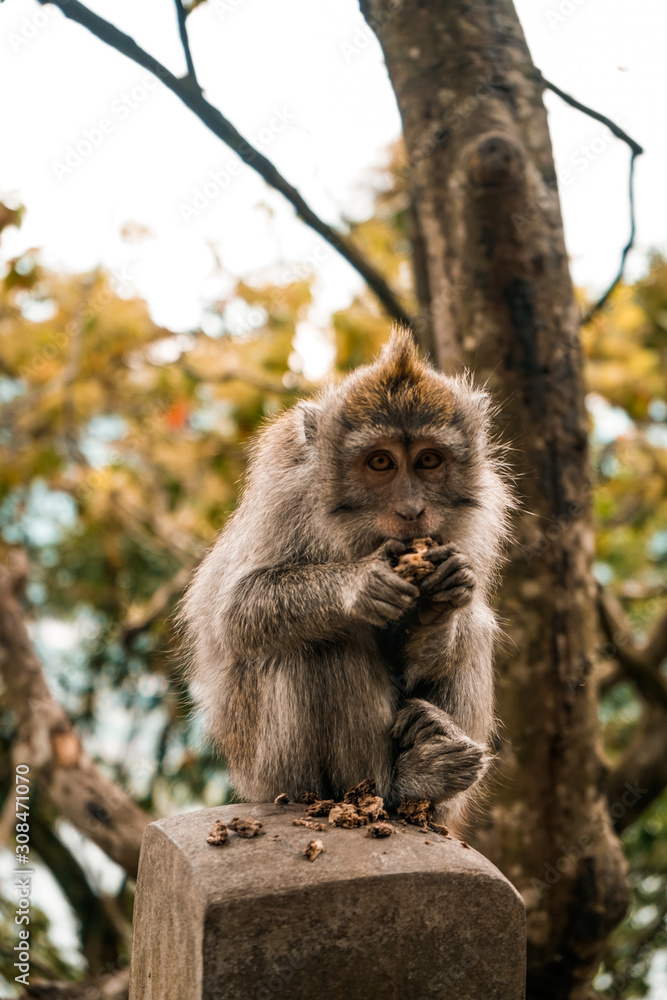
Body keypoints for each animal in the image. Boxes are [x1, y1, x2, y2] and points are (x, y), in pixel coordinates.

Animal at [180, 328, 512, 830]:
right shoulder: (287, 492)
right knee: (324, 644)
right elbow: (236, 611)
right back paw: (396, 788)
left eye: (428, 460)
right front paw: (360, 586)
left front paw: (441, 603)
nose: (412, 510)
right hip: (273, 772)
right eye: (380, 463)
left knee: (474, 629)